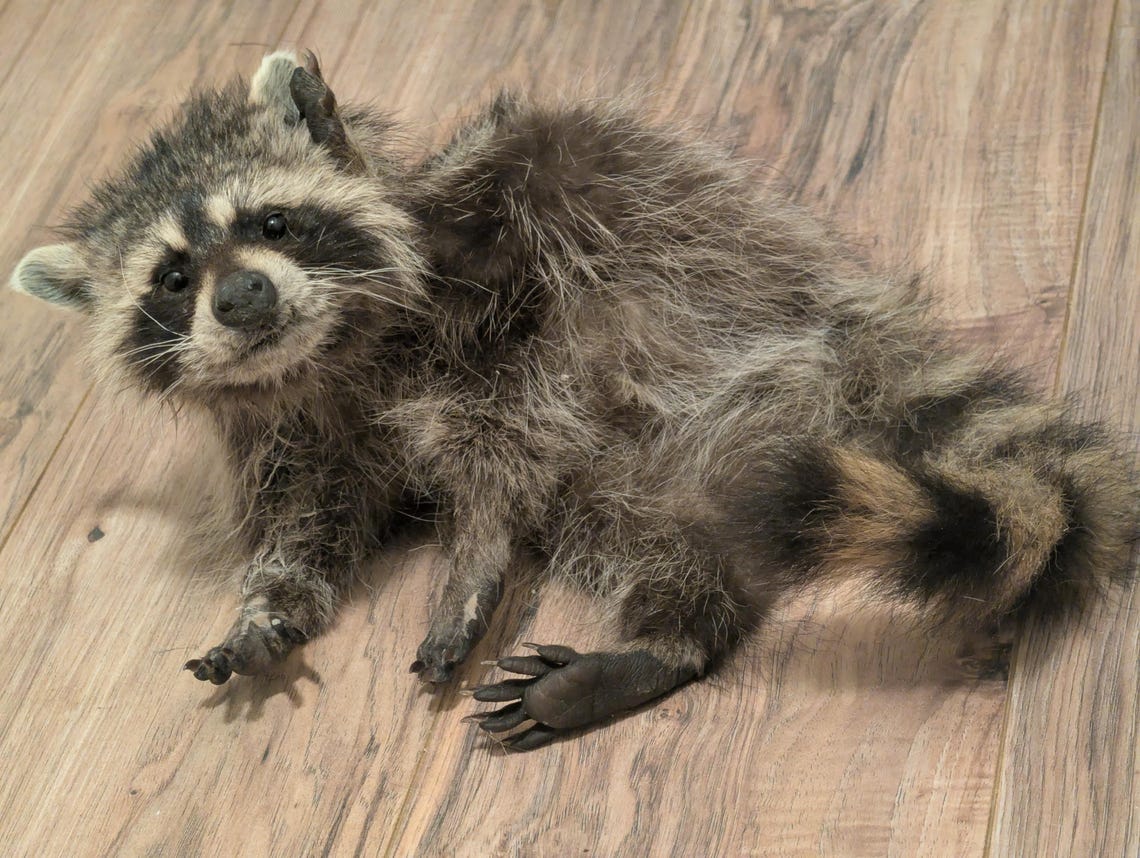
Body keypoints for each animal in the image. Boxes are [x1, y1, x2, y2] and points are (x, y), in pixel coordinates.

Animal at [10, 51, 1137, 750]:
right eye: (172, 279)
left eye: (273, 223)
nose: (242, 297)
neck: (329, 355)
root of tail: (853, 331)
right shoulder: (295, 431)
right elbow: (312, 522)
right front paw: (268, 603)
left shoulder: (488, 299)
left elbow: (496, 443)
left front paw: (473, 556)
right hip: (678, 467)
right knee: (663, 534)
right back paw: (678, 630)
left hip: (717, 314)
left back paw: (656, 637)